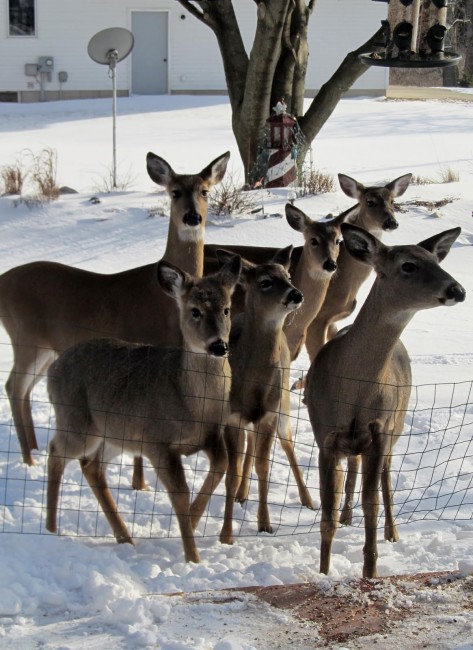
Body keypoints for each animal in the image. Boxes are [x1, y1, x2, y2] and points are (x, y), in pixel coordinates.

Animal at [0, 151, 230, 472]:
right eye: (174, 192)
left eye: (205, 191)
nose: (192, 217)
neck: (165, 298)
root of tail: (1, 281)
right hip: (25, 337)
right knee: (14, 386)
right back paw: (29, 459)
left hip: (45, 349)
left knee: (23, 390)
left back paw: (33, 453)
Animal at [45, 254, 242, 563]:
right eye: (195, 311)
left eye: (226, 309)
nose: (218, 346)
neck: (193, 405)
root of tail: (52, 371)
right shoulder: (156, 442)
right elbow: (179, 493)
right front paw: (192, 556)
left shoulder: (211, 435)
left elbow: (221, 468)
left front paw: (194, 520)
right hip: (76, 421)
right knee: (56, 453)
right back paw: (51, 531)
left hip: (115, 435)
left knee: (91, 466)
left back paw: (124, 537)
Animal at [217, 246, 306, 545]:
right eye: (265, 282)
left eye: (288, 275)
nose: (296, 294)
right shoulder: (232, 417)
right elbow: (232, 473)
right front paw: (226, 535)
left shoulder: (268, 414)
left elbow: (264, 467)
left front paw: (265, 524)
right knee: (249, 446)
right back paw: (242, 494)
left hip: (284, 404)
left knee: (286, 443)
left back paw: (309, 499)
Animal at [304, 223, 466, 579]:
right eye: (408, 265)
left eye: (436, 260)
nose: (458, 289)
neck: (352, 390)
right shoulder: (325, 436)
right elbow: (327, 513)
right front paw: (323, 572)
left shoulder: (379, 431)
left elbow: (372, 501)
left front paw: (370, 570)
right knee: (353, 470)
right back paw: (348, 517)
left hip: (397, 425)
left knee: (386, 480)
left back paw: (392, 532)